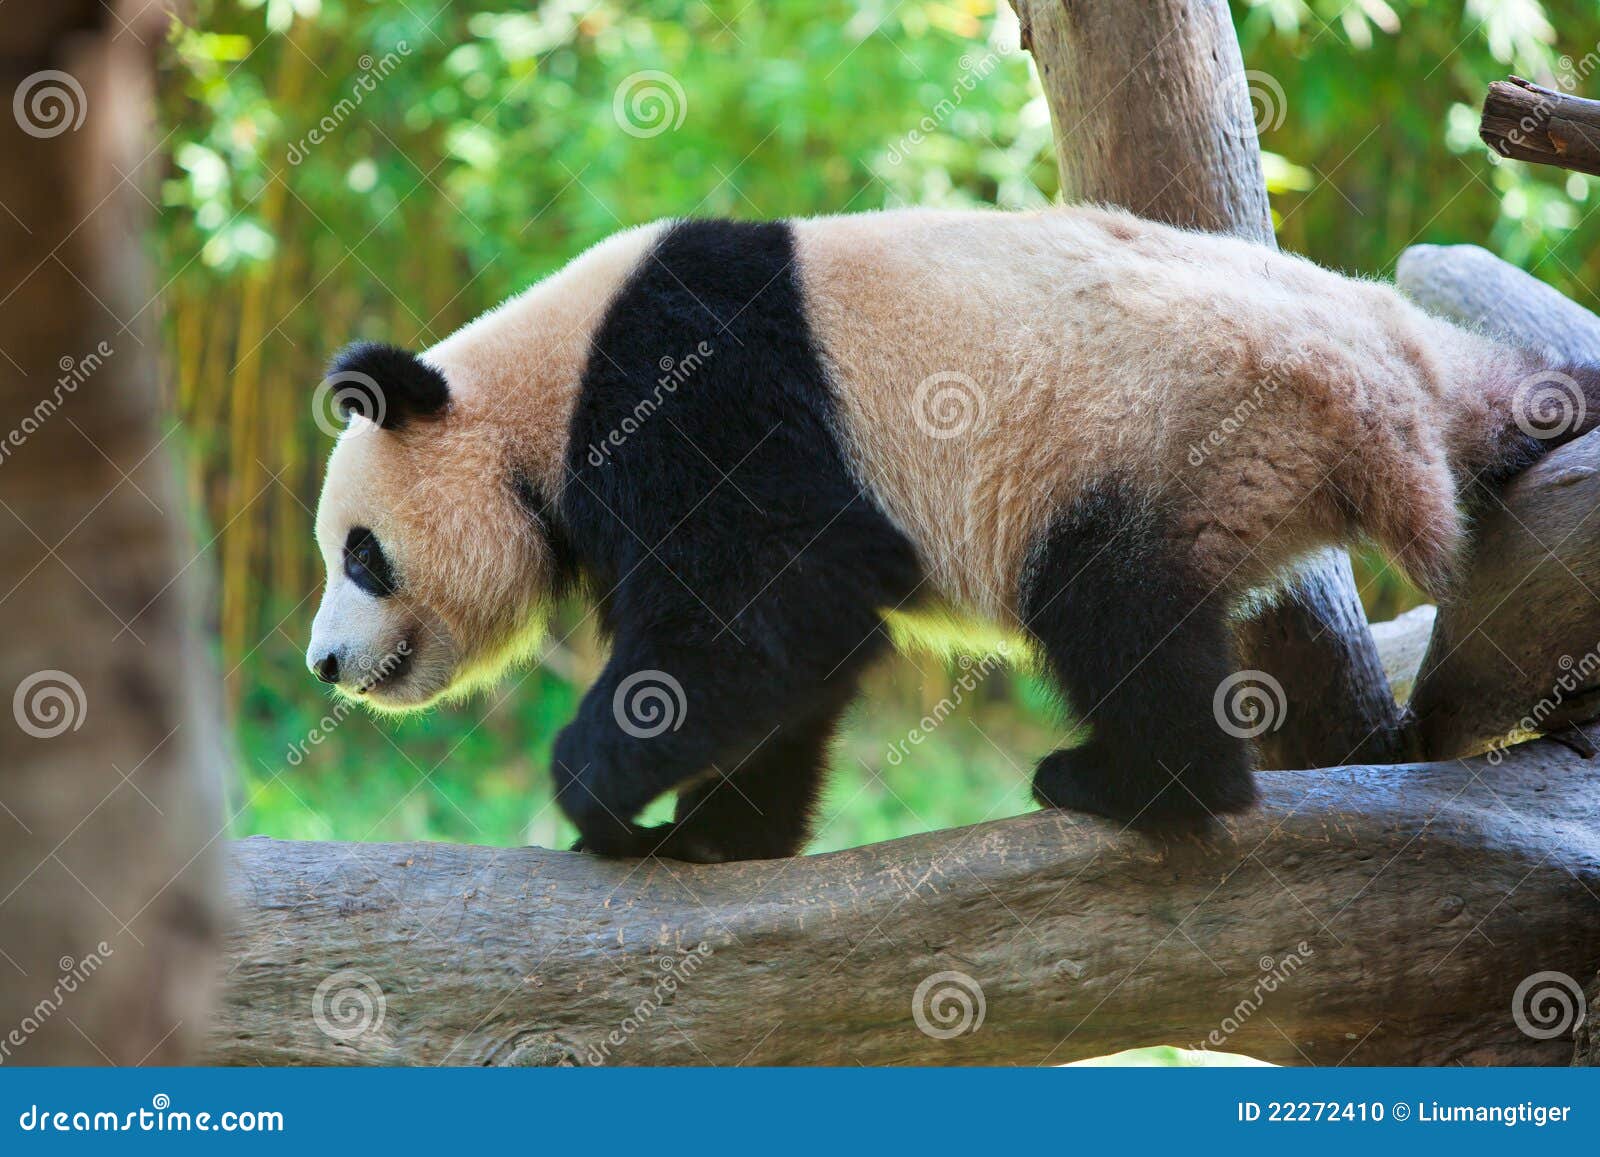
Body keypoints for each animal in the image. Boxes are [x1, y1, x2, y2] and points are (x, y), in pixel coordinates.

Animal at [305, 204, 1593, 861]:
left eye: (359, 551)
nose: (325, 661)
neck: (541, 384)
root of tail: (1403, 384)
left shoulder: (684, 378)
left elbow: (776, 595)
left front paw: (598, 792)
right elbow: (790, 654)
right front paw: (723, 833)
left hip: (1185, 426)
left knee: (1105, 598)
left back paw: (1136, 781)